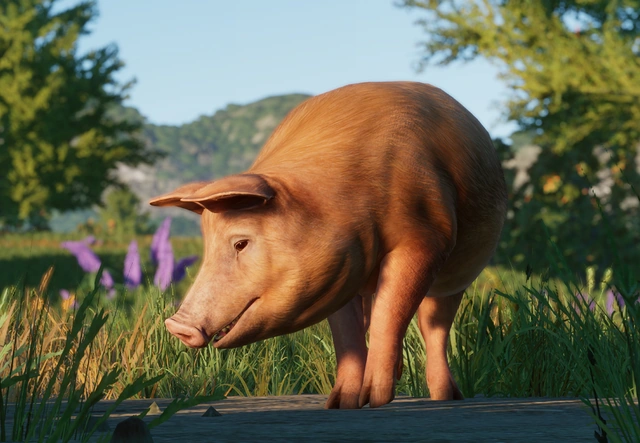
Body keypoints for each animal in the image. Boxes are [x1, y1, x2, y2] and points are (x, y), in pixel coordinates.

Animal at [149, 81, 507, 409]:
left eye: (240, 242)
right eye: (207, 246)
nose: (176, 325)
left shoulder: (425, 240)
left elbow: (390, 312)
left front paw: (374, 401)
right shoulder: (340, 272)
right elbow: (347, 334)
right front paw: (340, 404)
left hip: (455, 276)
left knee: (433, 326)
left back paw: (446, 398)